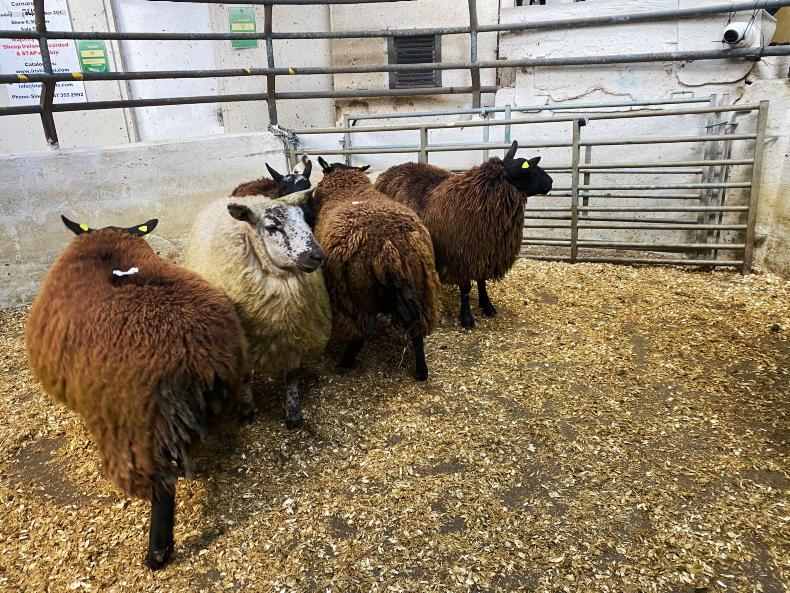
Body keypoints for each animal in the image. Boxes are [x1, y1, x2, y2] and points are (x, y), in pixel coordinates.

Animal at [184, 188, 331, 429]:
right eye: (272, 227)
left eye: (304, 219)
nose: (317, 256)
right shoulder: (242, 340)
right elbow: (245, 377)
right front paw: (247, 409)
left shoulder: (296, 333)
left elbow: (292, 375)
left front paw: (293, 413)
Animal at [313, 157, 441, 380]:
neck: (348, 188)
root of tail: (388, 246)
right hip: (421, 289)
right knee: (417, 332)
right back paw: (421, 371)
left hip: (358, 297)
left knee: (362, 333)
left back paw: (345, 361)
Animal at [374, 140, 553, 329]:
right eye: (531, 170)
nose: (550, 181)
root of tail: (387, 172)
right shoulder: (462, 256)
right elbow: (466, 288)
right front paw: (467, 318)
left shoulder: (484, 253)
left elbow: (482, 281)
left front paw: (487, 305)